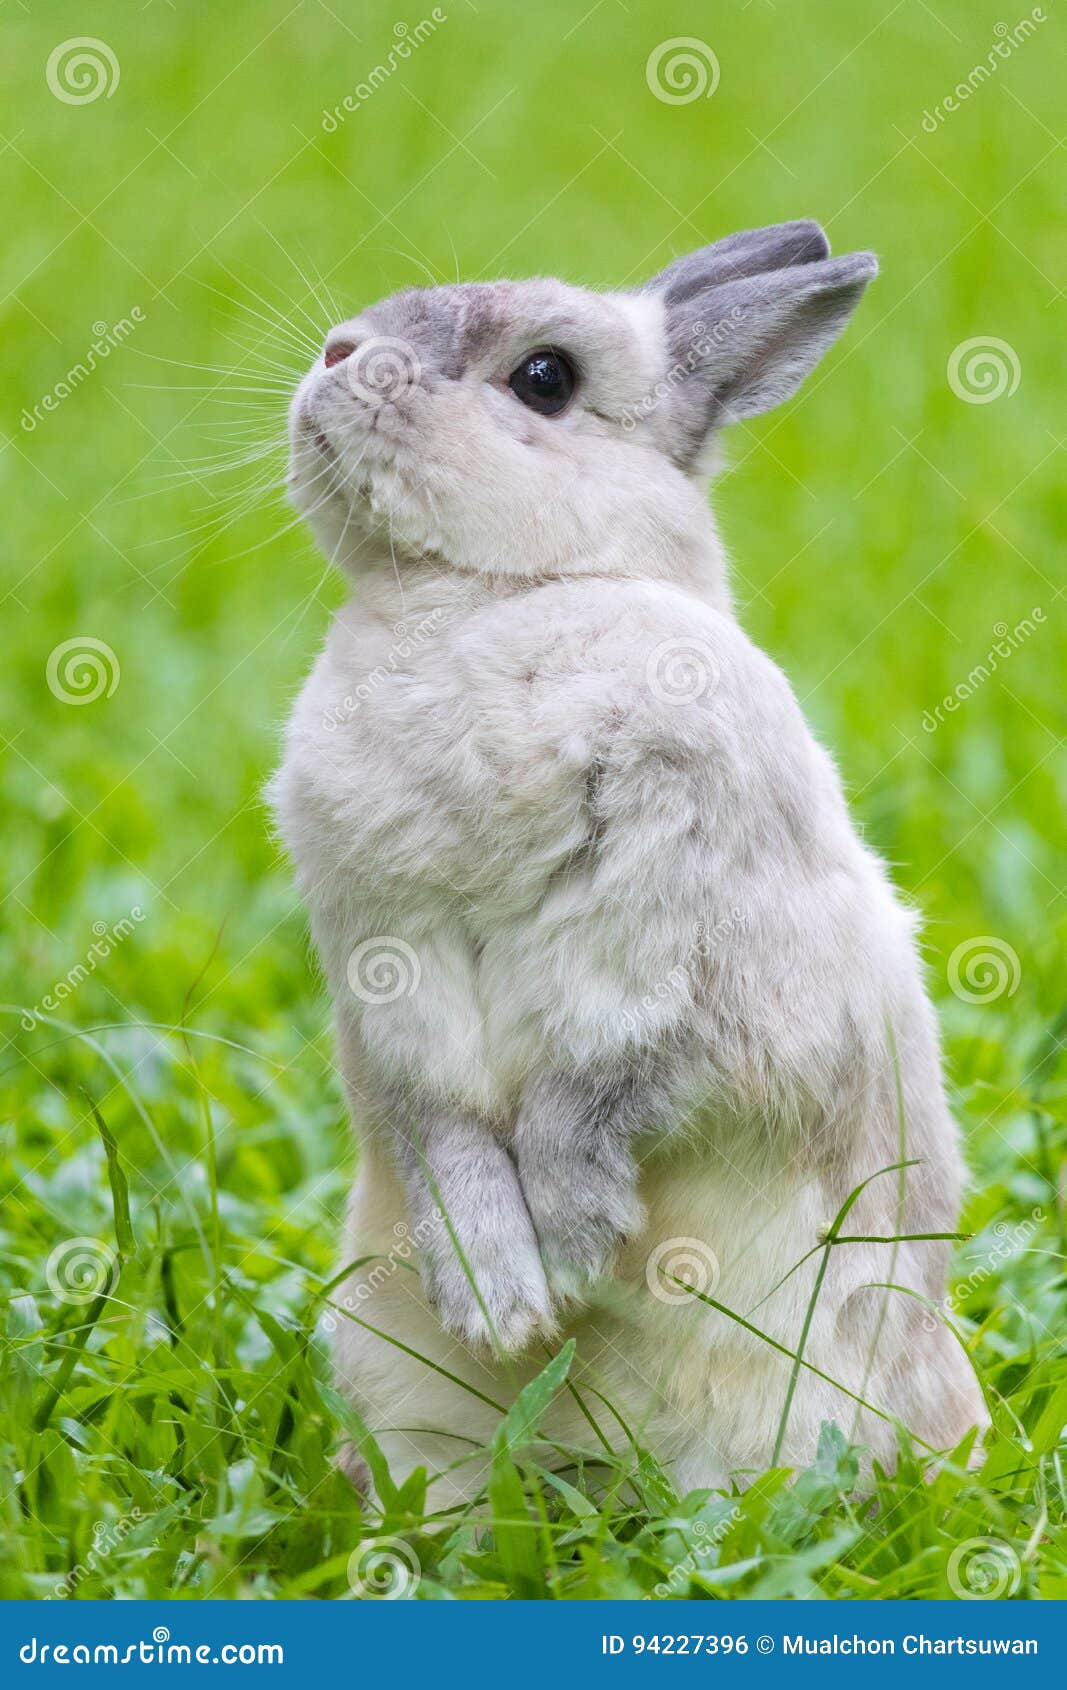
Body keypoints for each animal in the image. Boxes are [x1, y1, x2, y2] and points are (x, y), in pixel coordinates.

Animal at [270, 220, 985, 1504]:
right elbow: (441, 1131)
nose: (337, 353)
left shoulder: (695, 978)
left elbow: (598, 1090)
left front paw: (571, 1242)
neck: (485, 598)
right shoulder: (389, 988)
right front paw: (501, 1298)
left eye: (544, 378)